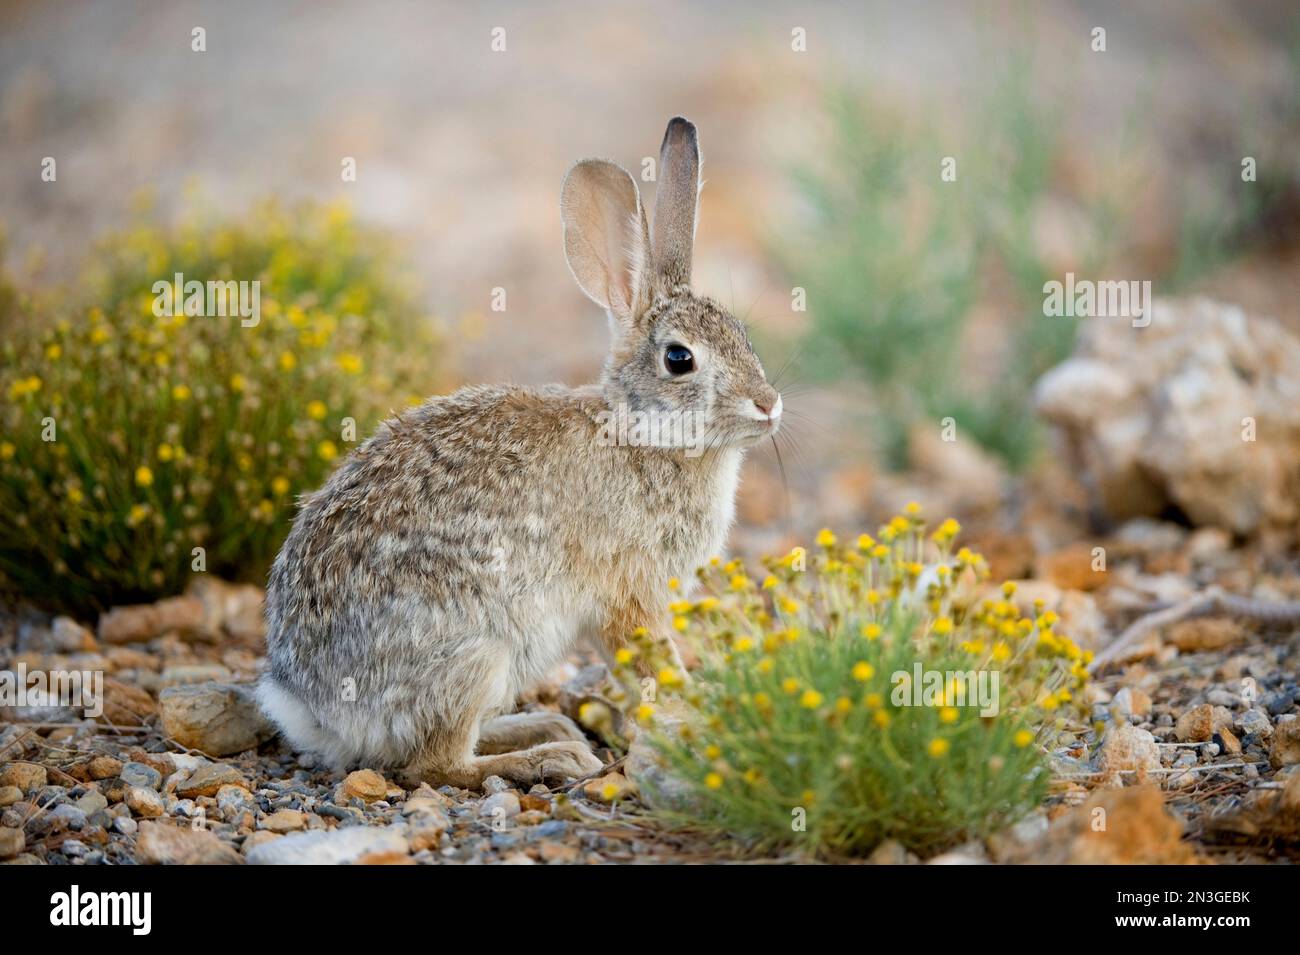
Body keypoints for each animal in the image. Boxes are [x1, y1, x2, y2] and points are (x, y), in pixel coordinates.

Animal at [257, 117, 783, 789]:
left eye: (743, 336)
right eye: (679, 358)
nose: (768, 405)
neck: (640, 432)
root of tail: (308, 705)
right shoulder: (629, 592)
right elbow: (651, 661)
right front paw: (690, 715)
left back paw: (549, 728)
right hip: (476, 654)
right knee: (436, 764)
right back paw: (552, 755)